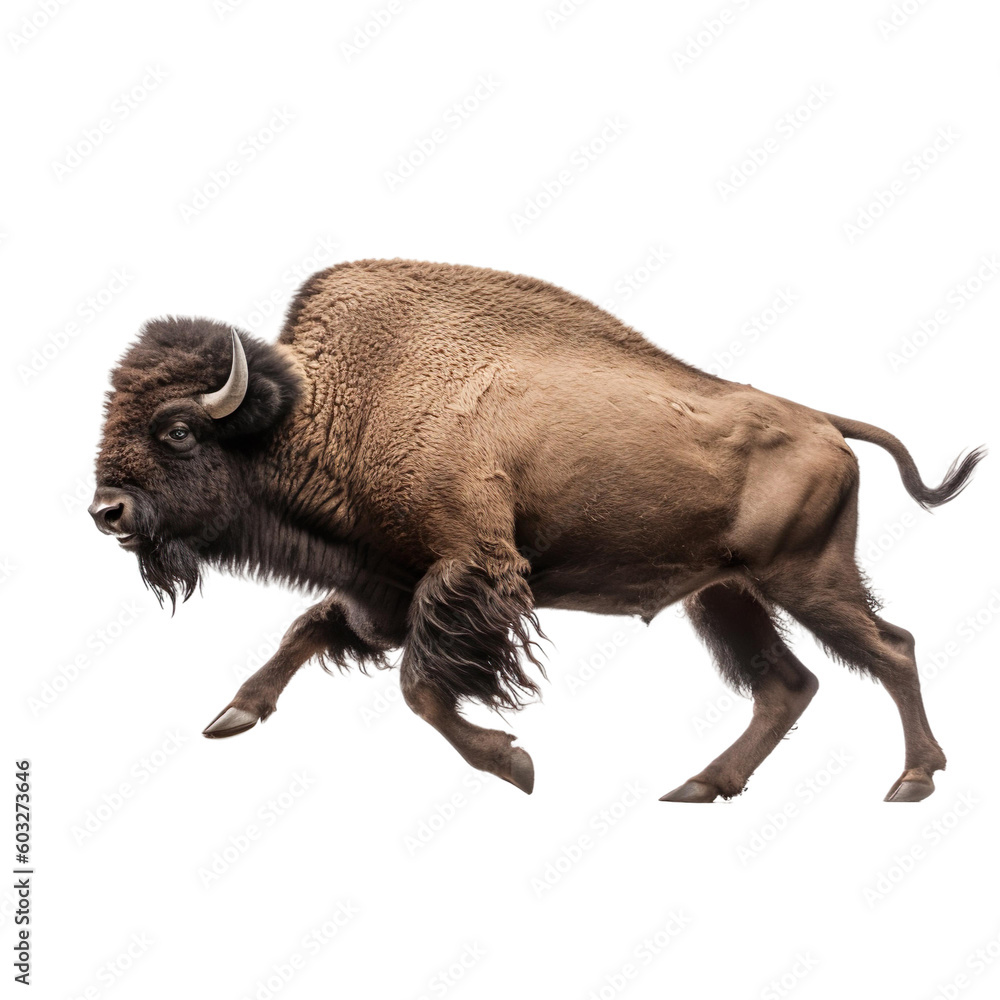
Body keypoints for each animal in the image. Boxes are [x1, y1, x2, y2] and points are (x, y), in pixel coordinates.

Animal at [90, 259, 983, 802]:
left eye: (177, 430)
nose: (107, 512)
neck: (338, 409)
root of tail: (825, 422)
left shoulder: (470, 570)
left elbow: (421, 687)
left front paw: (512, 763)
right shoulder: (382, 586)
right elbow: (310, 629)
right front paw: (233, 715)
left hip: (805, 578)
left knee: (890, 649)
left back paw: (913, 780)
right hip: (725, 594)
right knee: (786, 683)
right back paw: (699, 787)